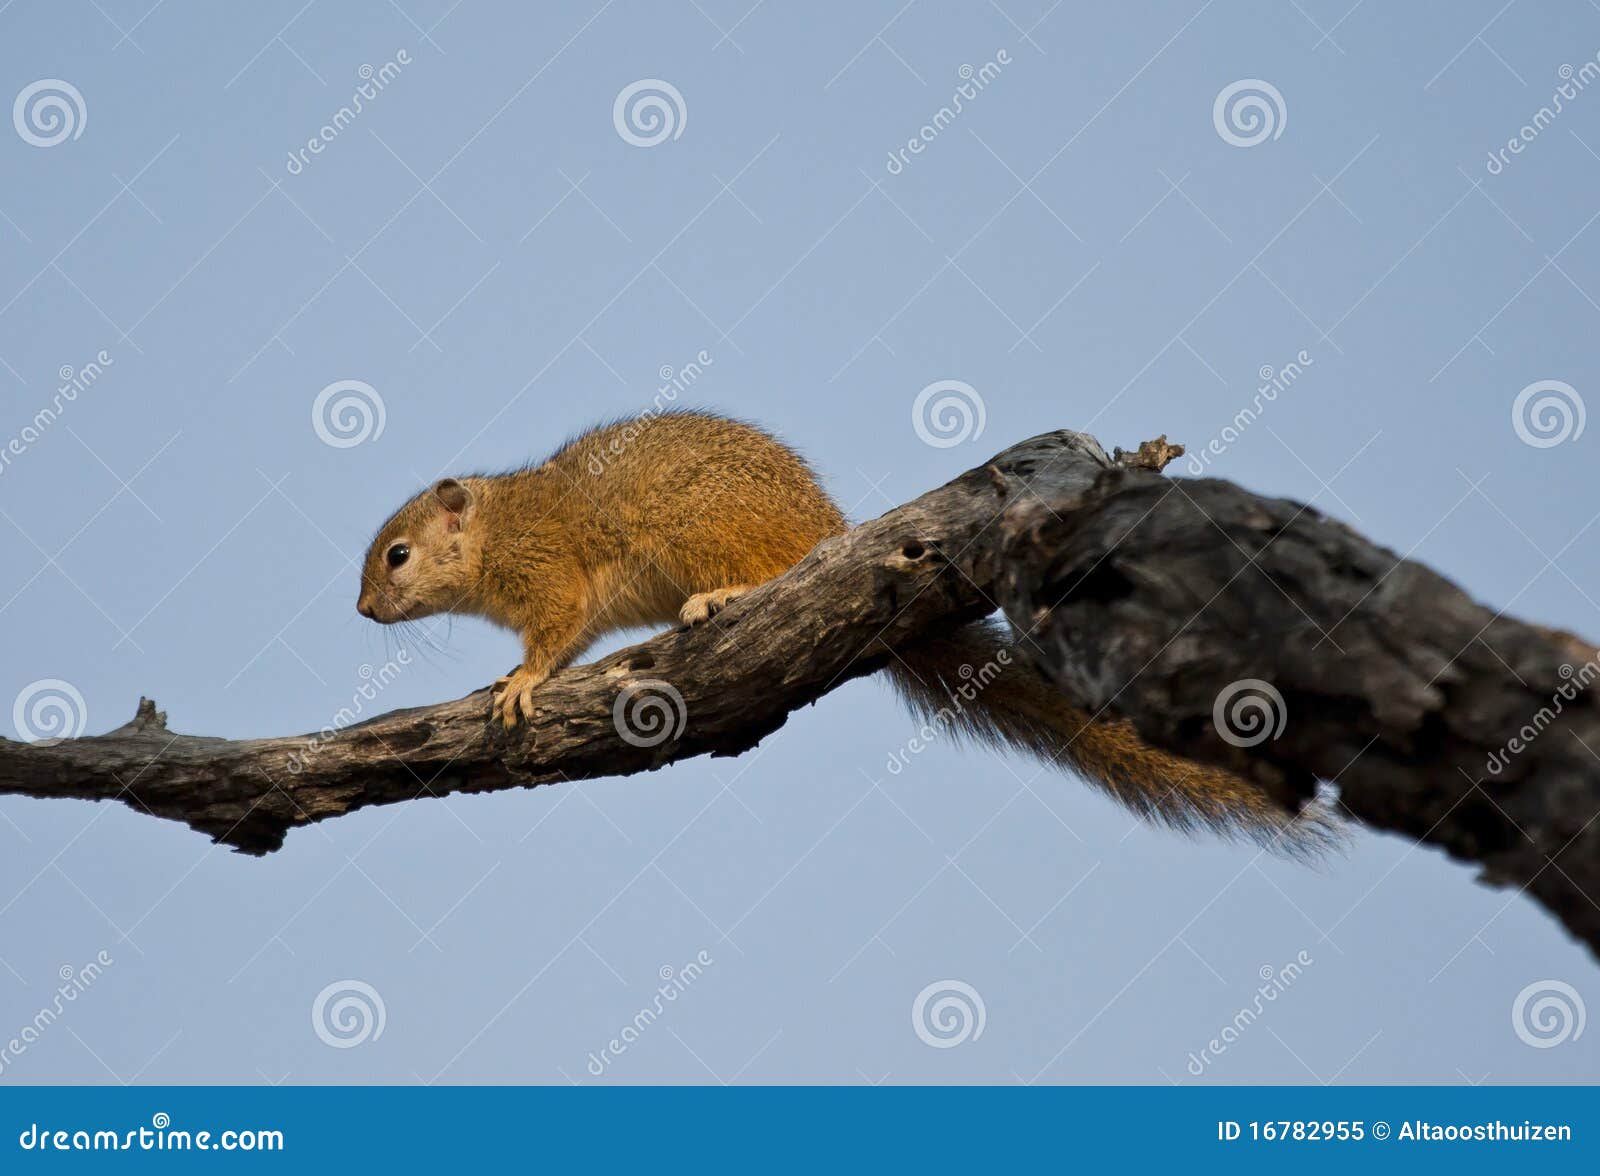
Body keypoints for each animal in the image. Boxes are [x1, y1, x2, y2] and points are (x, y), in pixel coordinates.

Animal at [357, 410, 1329, 851]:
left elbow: (553, 637)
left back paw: (721, 597)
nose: (362, 611)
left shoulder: (551, 574)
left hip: (704, 528)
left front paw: (520, 683)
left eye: (398, 555)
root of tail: (827, 531)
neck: (495, 532)